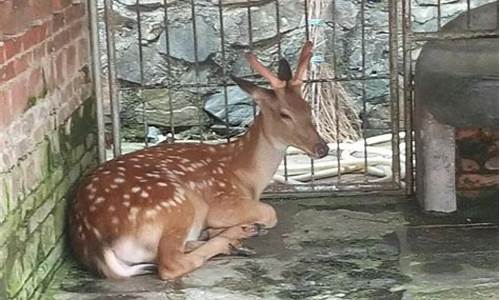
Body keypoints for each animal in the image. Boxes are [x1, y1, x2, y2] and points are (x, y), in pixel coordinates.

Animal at [68, 41, 330, 280]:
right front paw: (242, 227)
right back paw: (232, 237)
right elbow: (270, 212)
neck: (246, 175)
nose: (322, 147)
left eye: (307, 107)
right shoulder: (222, 201)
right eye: (284, 114)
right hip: (177, 204)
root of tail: (97, 244)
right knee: (170, 263)